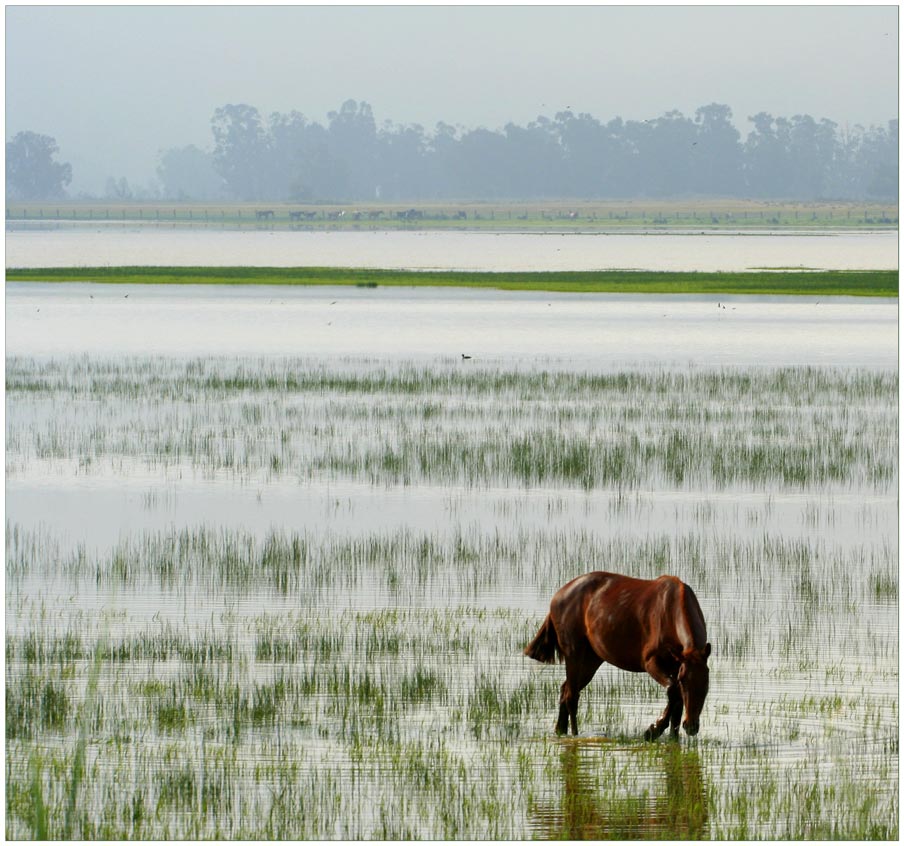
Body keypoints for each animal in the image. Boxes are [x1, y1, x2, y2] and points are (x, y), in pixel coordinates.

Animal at [528, 572, 708, 740]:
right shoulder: (651, 662)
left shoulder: (676, 666)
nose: (691, 726)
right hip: (574, 653)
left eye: (706, 683)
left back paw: (560, 730)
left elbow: (677, 703)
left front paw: (671, 737)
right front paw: (653, 730)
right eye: (685, 681)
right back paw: (574, 734)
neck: (670, 610)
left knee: (565, 689)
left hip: (591, 660)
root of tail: (558, 595)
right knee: (571, 696)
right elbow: (673, 690)